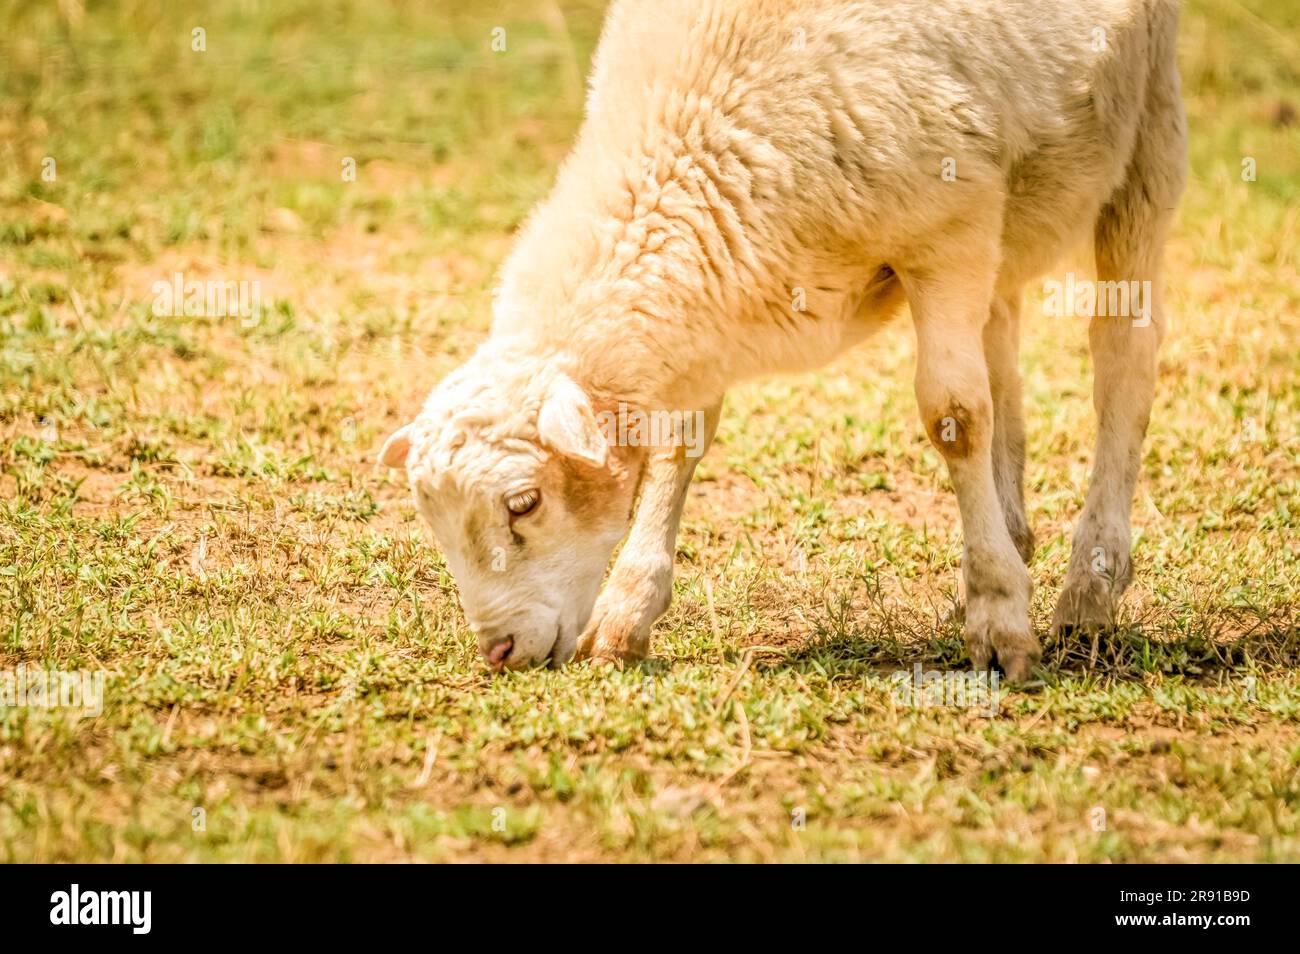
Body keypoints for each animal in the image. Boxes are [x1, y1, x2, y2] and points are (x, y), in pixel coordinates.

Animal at [380, 0, 1187, 680]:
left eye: (525, 503)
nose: (499, 651)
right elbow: (679, 442)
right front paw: (625, 614)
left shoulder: (947, 235)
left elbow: (954, 417)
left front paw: (1000, 622)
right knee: (1003, 345)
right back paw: (1014, 544)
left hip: (1145, 121)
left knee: (1123, 355)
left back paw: (1088, 592)